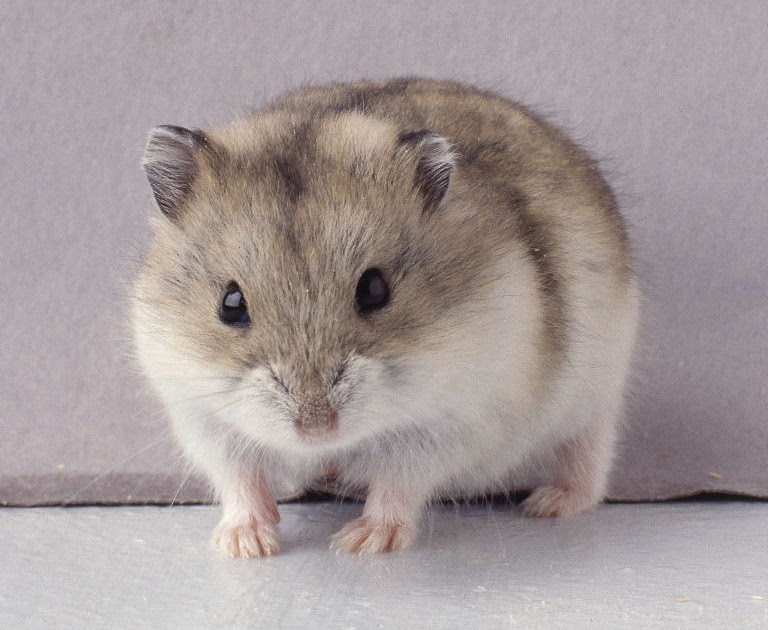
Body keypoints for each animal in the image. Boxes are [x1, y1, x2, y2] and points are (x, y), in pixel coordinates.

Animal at [132, 78, 639, 557]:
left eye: (375, 290)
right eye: (231, 303)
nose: (316, 428)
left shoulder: (446, 424)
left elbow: (398, 483)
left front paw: (361, 543)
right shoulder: (201, 418)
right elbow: (240, 481)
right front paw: (245, 546)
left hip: (599, 390)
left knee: (589, 451)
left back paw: (550, 504)